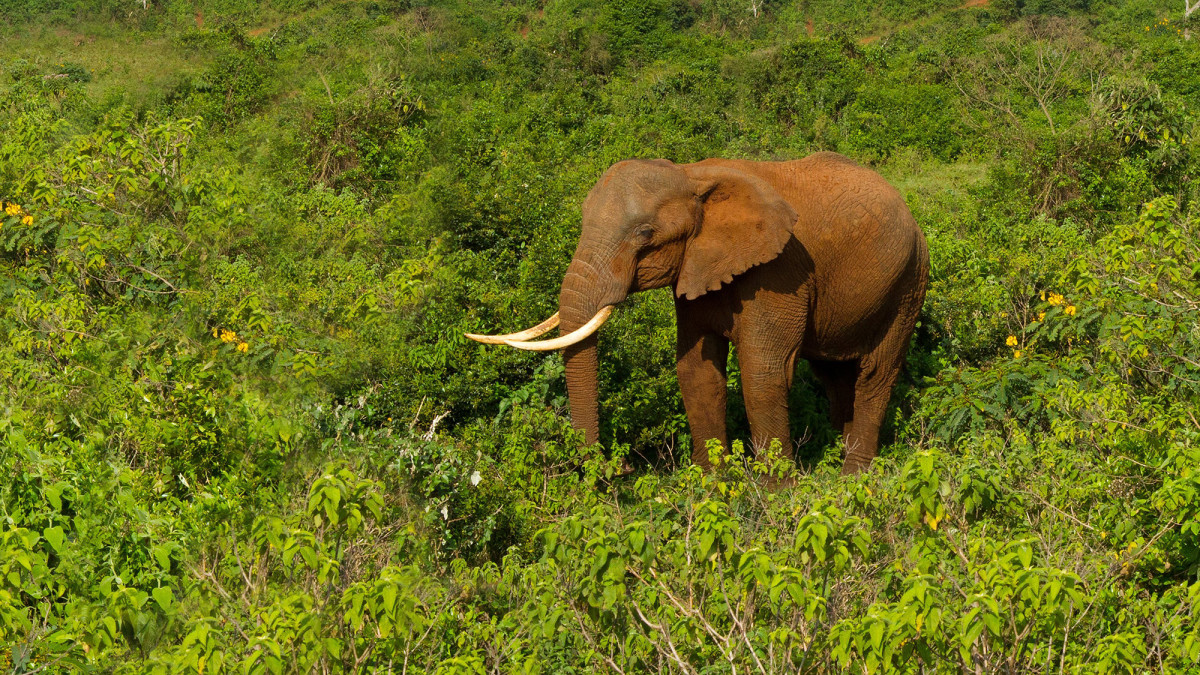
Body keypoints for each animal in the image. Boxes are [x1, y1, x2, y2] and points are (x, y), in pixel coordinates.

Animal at [467, 152, 929, 474]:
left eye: (645, 234)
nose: (623, 468)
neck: (692, 175)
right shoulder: (695, 270)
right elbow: (696, 373)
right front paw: (712, 489)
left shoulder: (779, 270)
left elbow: (763, 373)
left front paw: (776, 497)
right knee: (834, 375)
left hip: (909, 283)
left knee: (875, 374)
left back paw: (852, 480)